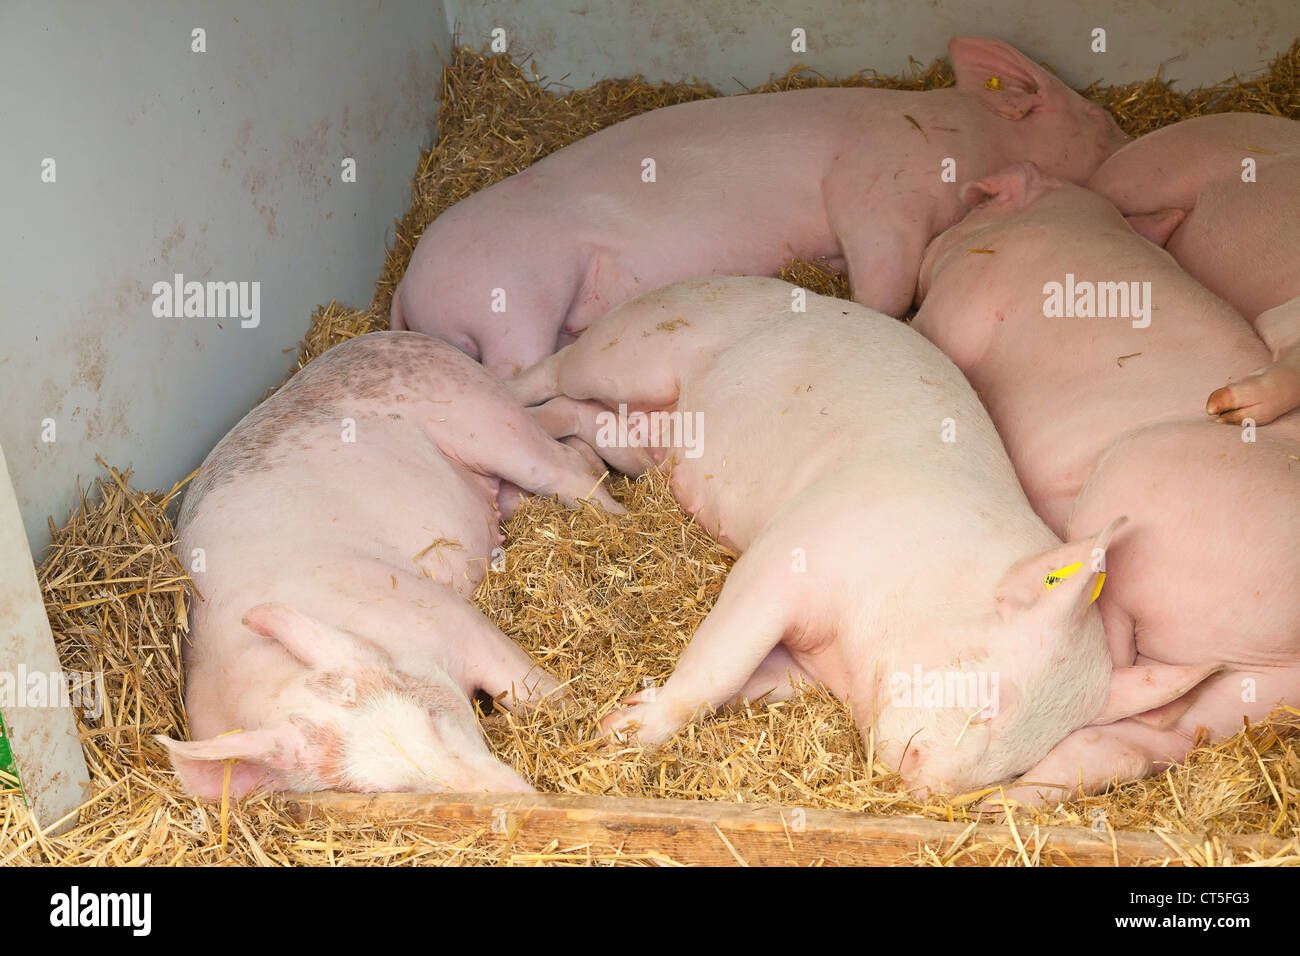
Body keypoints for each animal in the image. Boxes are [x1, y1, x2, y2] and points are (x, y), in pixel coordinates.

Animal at [157, 332, 622, 798]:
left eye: (429, 716)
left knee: (563, 467)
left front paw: (586, 719)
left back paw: (620, 515)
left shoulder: (449, 616)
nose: (516, 795)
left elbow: (528, 689)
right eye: (388, 791)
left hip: (480, 415)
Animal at [393, 37, 1130, 378]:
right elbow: (886, 287)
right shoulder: (877, 192)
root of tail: (406, 285)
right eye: (1102, 121)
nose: (1131, 143)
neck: (972, 139)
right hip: (511, 298)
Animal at [509, 275, 1130, 796]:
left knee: (579, 415)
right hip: (633, 348)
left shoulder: (805, 666)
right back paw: (504, 391)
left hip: (636, 441)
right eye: (988, 701)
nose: (926, 789)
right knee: (554, 370)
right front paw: (617, 728)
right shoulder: (786, 555)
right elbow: (721, 662)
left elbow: (750, 682)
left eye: (1021, 764)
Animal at [912, 162, 1300, 803]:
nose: (937, 234)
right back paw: (1012, 801)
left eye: (970, 210)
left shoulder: (962, 304)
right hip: (1264, 688)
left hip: (1130, 483)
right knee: (1140, 743)